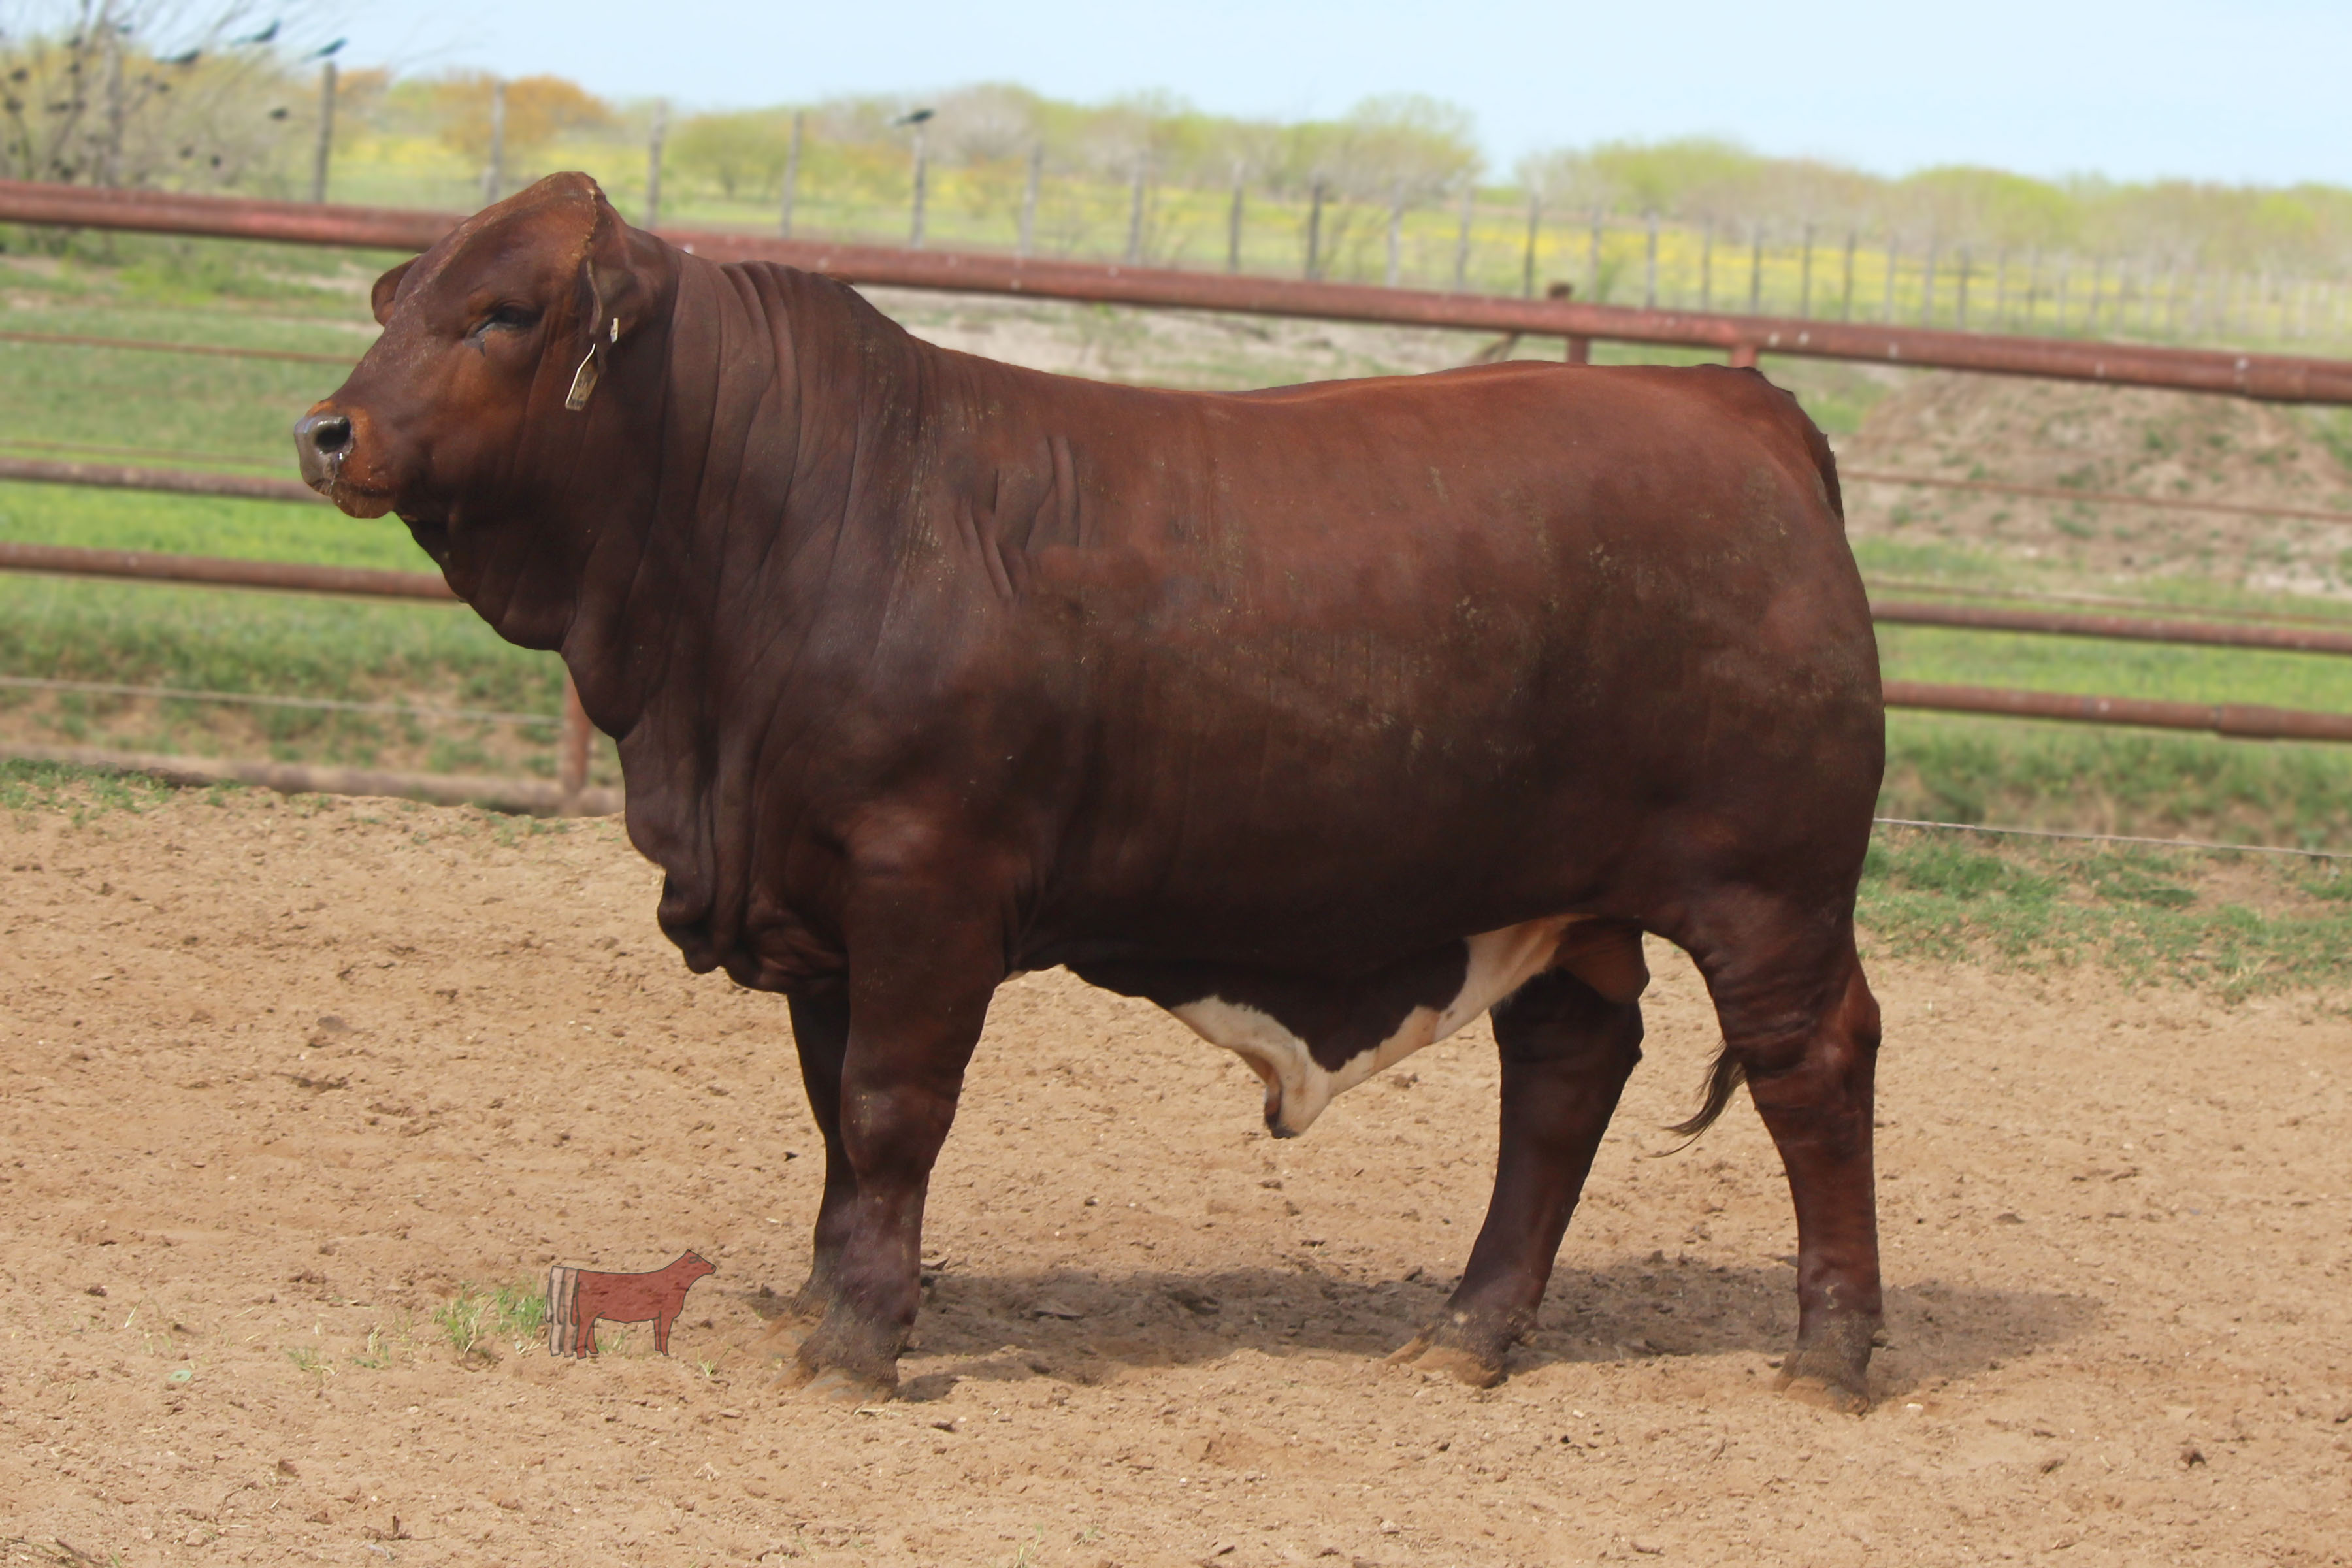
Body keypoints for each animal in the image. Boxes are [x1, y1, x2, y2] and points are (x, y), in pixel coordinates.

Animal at [294, 173, 1887, 1413]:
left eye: (504, 312)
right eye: (396, 297)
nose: (326, 434)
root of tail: (1737, 406)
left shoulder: (925, 882)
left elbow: (889, 1107)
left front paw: (860, 1340)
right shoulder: (819, 904)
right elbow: (832, 1112)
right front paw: (829, 1297)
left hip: (1770, 887)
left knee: (1813, 1066)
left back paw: (1830, 1352)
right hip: (1560, 895)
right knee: (1563, 1075)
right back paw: (1466, 1333)